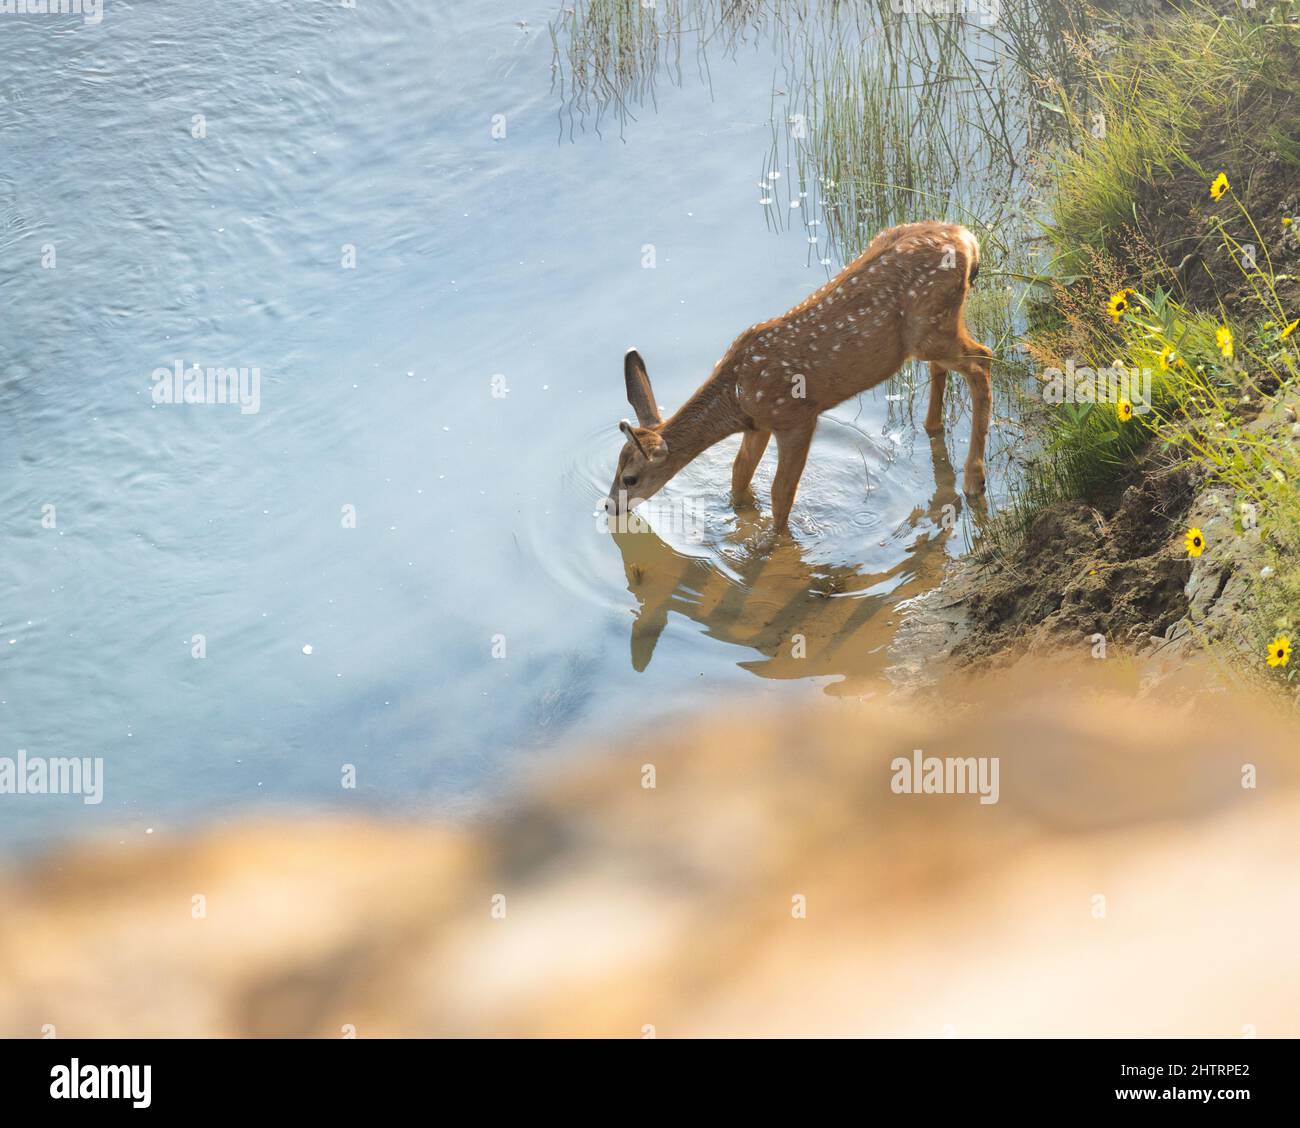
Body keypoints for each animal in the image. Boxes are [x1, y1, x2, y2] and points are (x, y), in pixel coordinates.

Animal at [608, 221, 993, 535]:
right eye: (616, 466)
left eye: (630, 477)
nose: (609, 506)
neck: (737, 395)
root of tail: (967, 239)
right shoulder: (758, 425)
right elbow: (738, 473)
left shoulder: (796, 418)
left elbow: (781, 493)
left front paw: (773, 542)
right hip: (931, 331)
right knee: (947, 366)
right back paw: (933, 429)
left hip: (932, 329)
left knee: (983, 360)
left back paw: (974, 478)